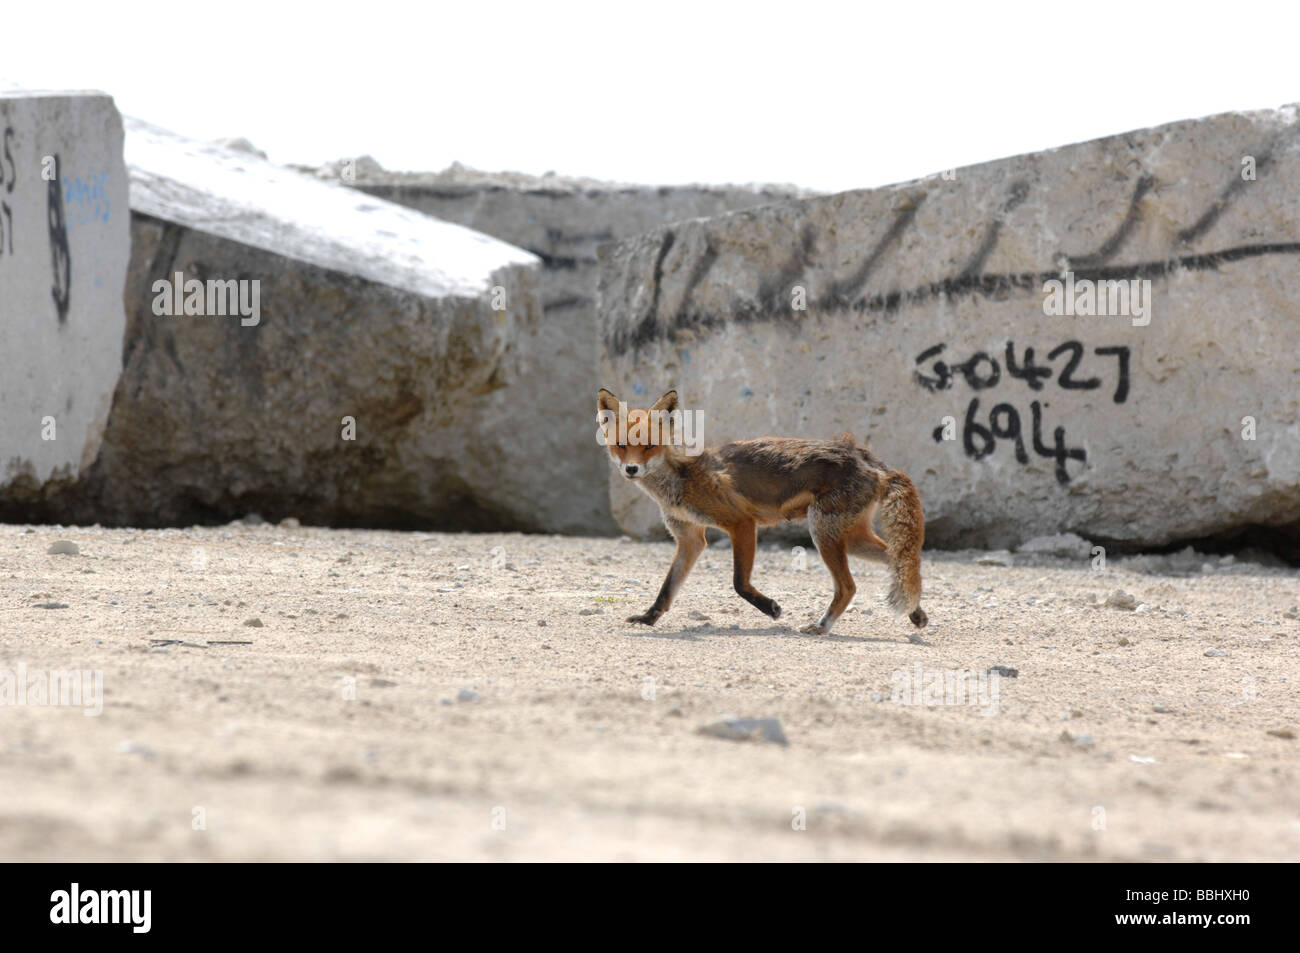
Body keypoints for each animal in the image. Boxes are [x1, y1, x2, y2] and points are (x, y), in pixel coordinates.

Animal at [597, 388, 927, 636]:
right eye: (621, 445)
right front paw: (648, 619)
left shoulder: (741, 523)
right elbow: (667, 589)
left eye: (649, 446)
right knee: (899, 561)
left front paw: (771, 608)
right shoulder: (690, 539)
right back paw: (916, 613)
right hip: (851, 537)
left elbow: (738, 583)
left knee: (849, 586)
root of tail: (864, 455)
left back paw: (821, 626)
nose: (631, 469)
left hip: (824, 533)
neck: (682, 477)